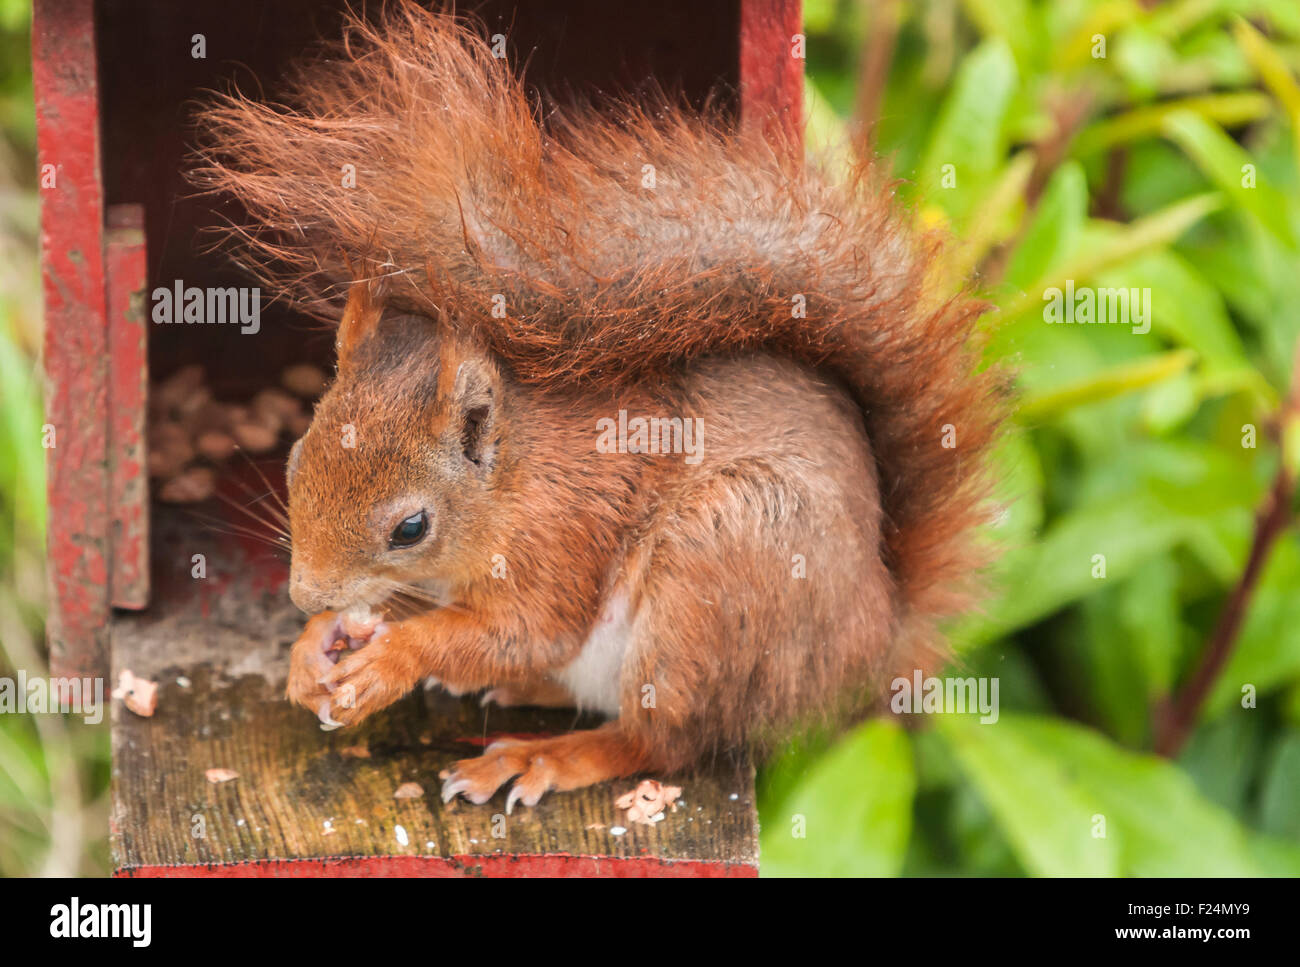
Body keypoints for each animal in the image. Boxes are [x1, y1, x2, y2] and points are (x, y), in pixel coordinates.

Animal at [190, 3, 1004, 812]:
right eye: (297, 459)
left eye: (410, 527)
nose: (305, 594)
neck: (512, 483)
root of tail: (875, 634)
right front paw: (314, 650)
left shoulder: (564, 535)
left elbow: (526, 629)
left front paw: (391, 660)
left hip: (724, 561)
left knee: (655, 740)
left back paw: (541, 757)